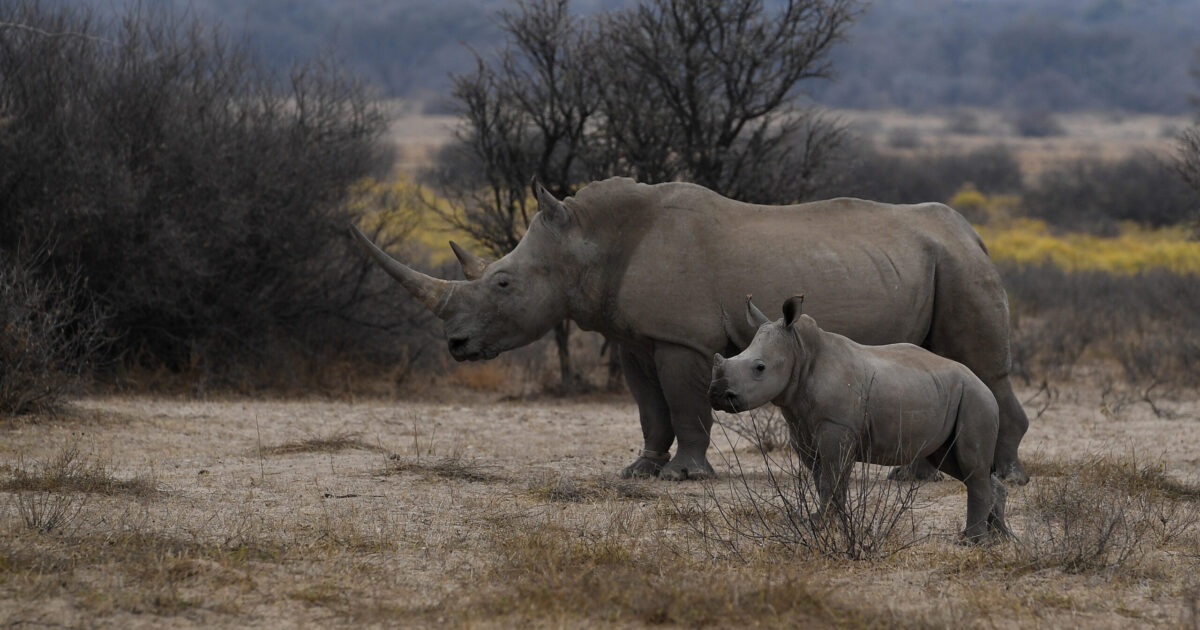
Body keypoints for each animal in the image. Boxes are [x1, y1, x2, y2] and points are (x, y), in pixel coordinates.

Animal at [351, 177, 1030, 484]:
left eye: (503, 284)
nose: (456, 346)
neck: (587, 242)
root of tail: (975, 232)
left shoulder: (681, 338)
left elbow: (683, 401)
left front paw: (686, 476)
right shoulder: (634, 337)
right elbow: (648, 406)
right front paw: (641, 471)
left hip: (958, 266)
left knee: (979, 365)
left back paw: (1000, 477)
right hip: (940, 260)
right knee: (939, 360)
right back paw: (915, 478)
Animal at [710, 295, 1010, 543]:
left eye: (760, 368)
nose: (716, 394)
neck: (800, 351)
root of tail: (980, 382)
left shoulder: (837, 427)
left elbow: (831, 477)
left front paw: (819, 525)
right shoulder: (801, 428)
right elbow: (823, 479)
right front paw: (834, 526)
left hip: (975, 398)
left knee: (971, 465)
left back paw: (972, 542)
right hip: (954, 395)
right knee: (953, 461)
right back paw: (999, 538)